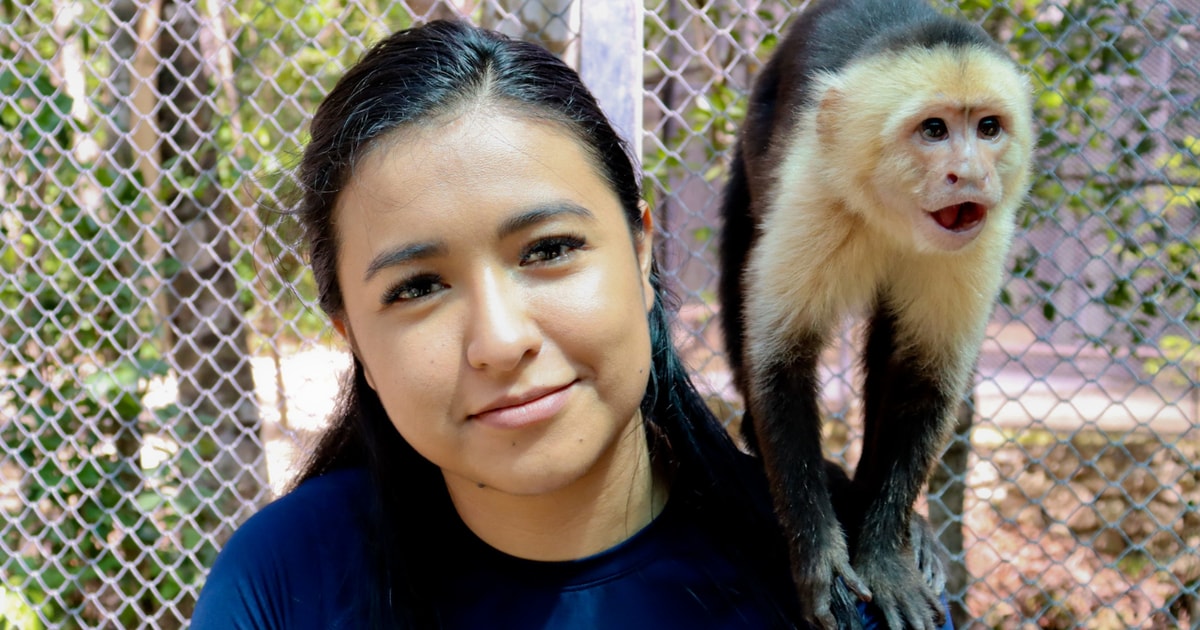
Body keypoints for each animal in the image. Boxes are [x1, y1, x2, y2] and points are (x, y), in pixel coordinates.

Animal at [717, 0, 1034, 628]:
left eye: (988, 128)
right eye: (934, 130)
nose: (969, 174)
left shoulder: (982, 236)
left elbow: (928, 379)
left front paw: (885, 554)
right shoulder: (814, 188)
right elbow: (780, 363)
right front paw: (820, 558)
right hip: (754, 137)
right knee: (740, 265)